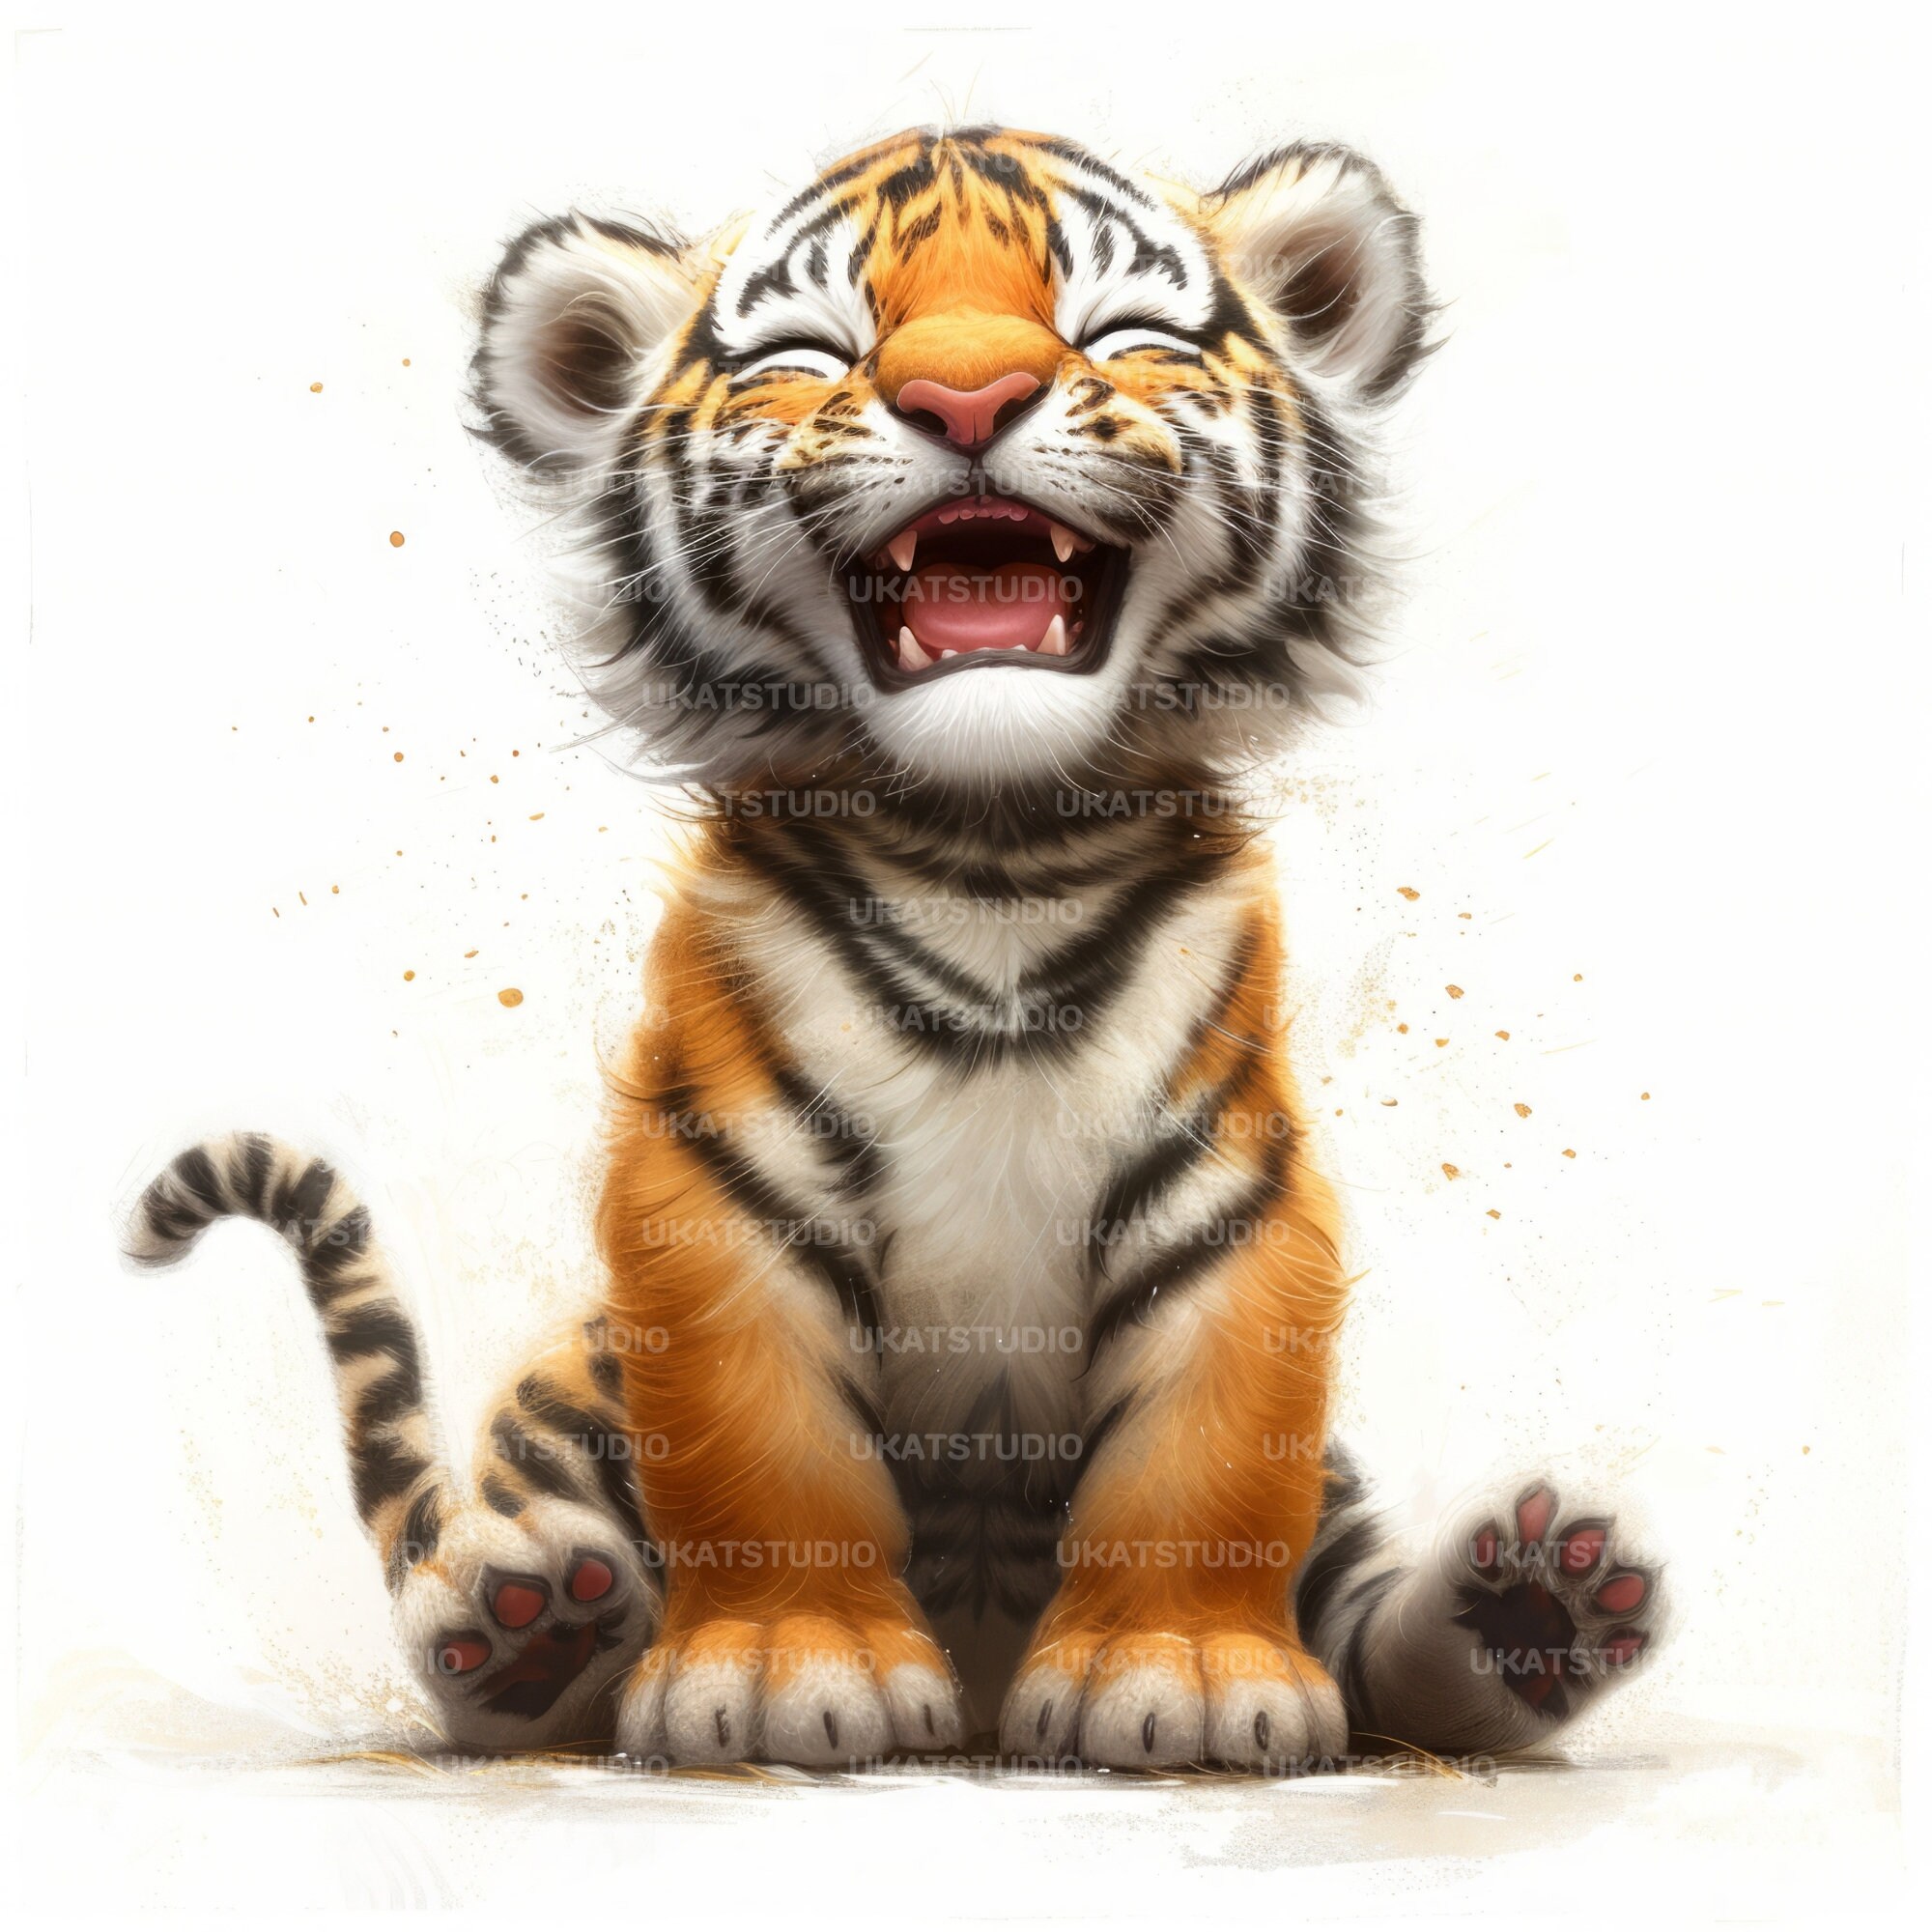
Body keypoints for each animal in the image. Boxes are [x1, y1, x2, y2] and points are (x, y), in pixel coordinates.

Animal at [130, 126, 1661, 1771]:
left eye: (1120, 328)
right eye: (813, 353)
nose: (968, 402)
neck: (995, 853)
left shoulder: (1234, 1190)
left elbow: (1204, 1456)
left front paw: (1183, 1674)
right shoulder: (713, 1188)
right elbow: (766, 1454)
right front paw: (790, 1668)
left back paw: (1535, 1606)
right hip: (577, 1390)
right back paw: (528, 1632)